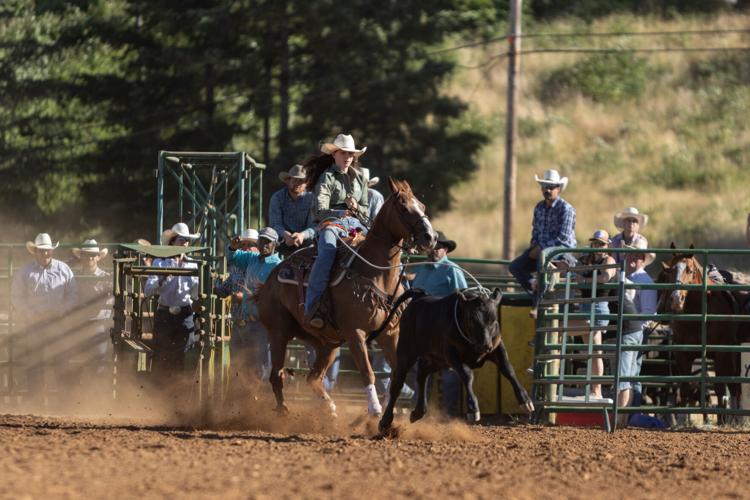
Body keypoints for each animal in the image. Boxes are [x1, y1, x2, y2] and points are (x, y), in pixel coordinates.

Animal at [368, 287, 534, 432]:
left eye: (493, 319)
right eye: (472, 319)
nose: (485, 346)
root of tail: (419, 296)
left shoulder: (497, 347)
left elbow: (508, 370)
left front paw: (525, 401)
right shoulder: (451, 354)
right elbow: (467, 375)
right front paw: (473, 408)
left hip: (436, 360)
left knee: (422, 375)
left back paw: (418, 412)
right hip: (406, 352)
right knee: (397, 384)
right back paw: (385, 422)